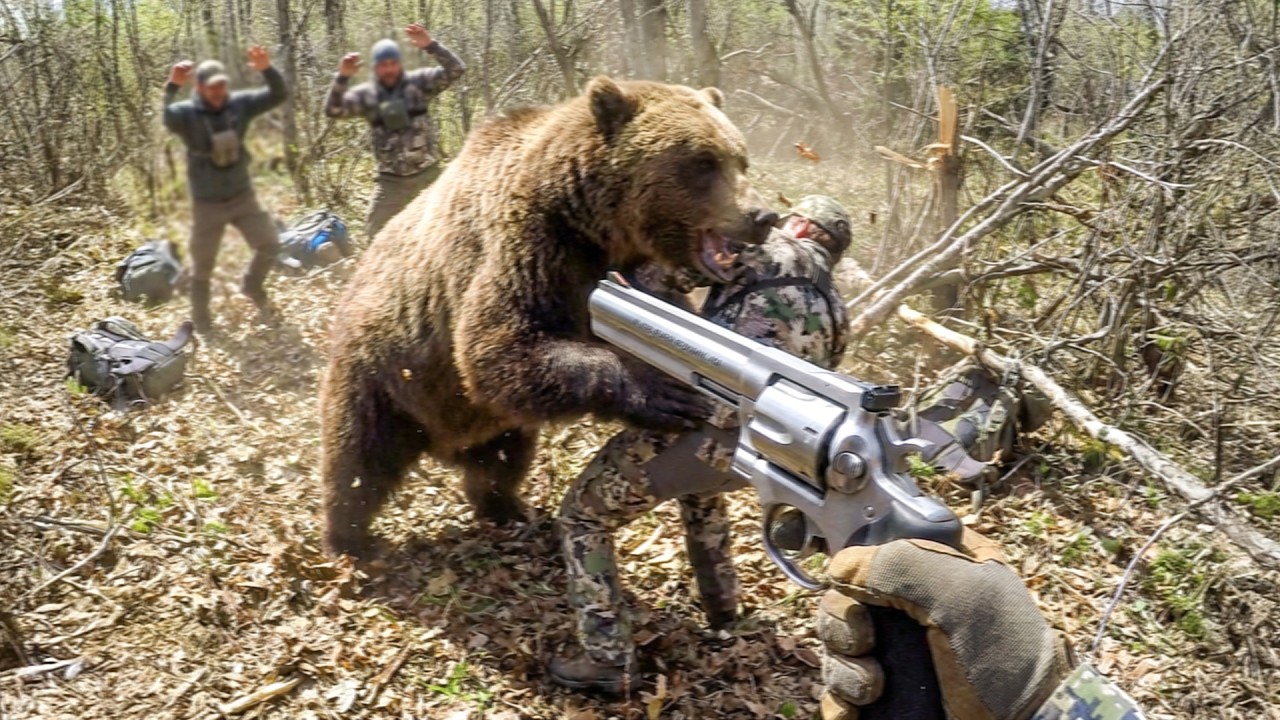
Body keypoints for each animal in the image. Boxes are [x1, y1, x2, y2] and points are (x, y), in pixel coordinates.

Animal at [321, 76, 776, 558]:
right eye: (703, 161)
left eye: (740, 157)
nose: (763, 215)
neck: (596, 225)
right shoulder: (529, 246)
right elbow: (496, 347)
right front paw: (665, 394)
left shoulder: (636, 274)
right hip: (384, 372)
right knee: (358, 459)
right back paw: (350, 537)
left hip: (481, 418)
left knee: (502, 458)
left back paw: (506, 507)